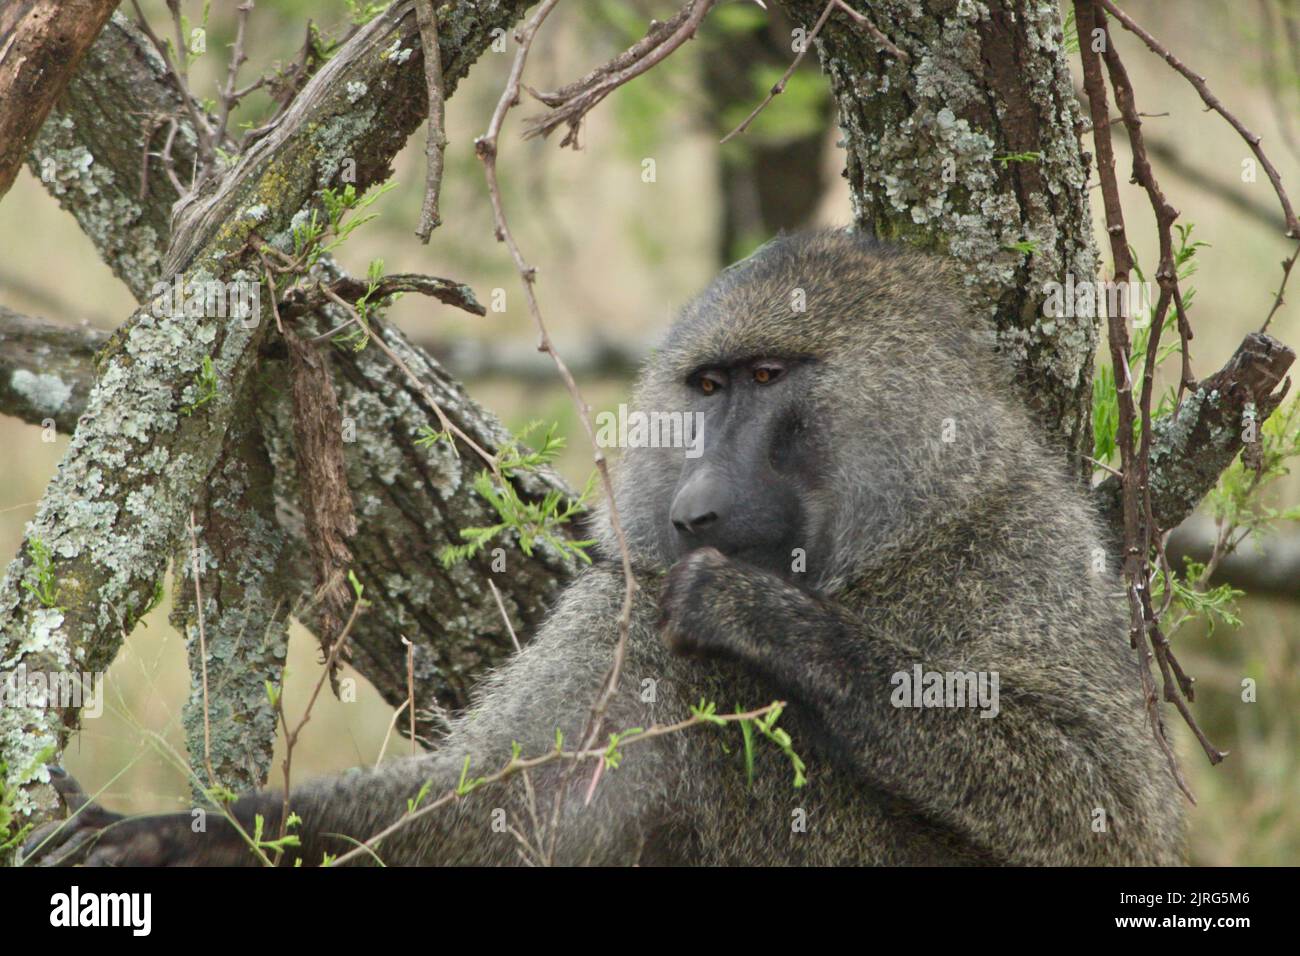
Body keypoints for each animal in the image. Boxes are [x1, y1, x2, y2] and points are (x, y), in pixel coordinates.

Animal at [23, 231, 1185, 867]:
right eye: (705, 387)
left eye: (768, 379)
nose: (696, 510)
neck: (870, 558)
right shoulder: (619, 600)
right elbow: (508, 813)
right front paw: (180, 835)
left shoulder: (1031, 548)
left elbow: (1103, 812)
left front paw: (755, 616)